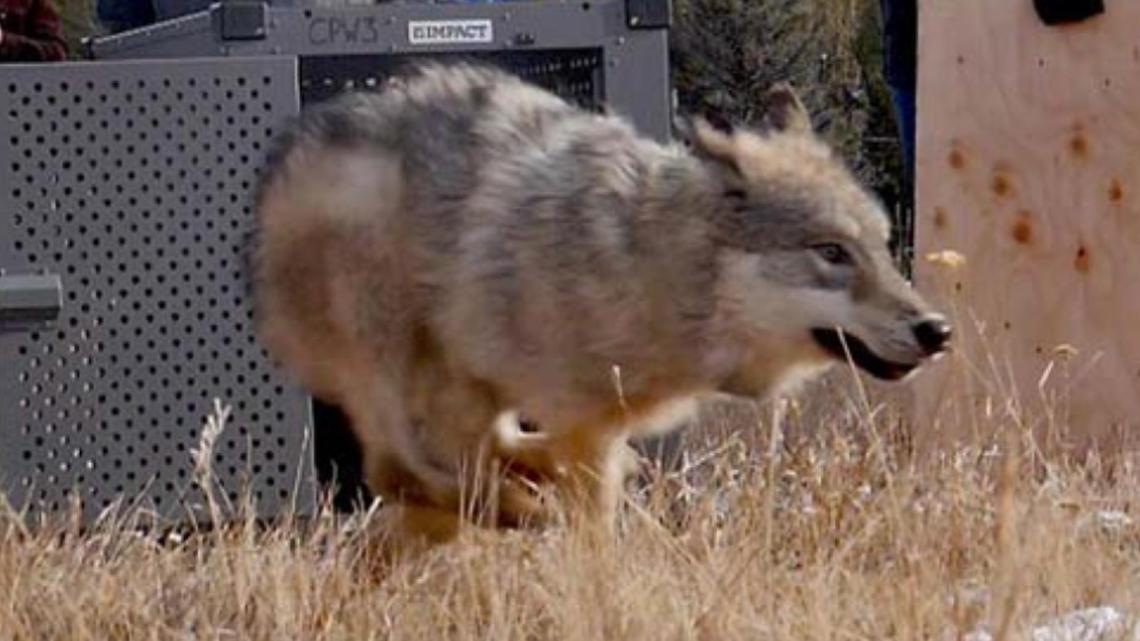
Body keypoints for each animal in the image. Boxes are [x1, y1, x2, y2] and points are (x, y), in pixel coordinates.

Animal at [249, 61, 951, 545]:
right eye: (831, 252)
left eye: (882, 247)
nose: (936, 329)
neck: (650, 267)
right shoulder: (573, 423)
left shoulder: (588, 423)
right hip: (389, 343)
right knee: (397, 469)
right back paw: (523, 506)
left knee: (448, 468)